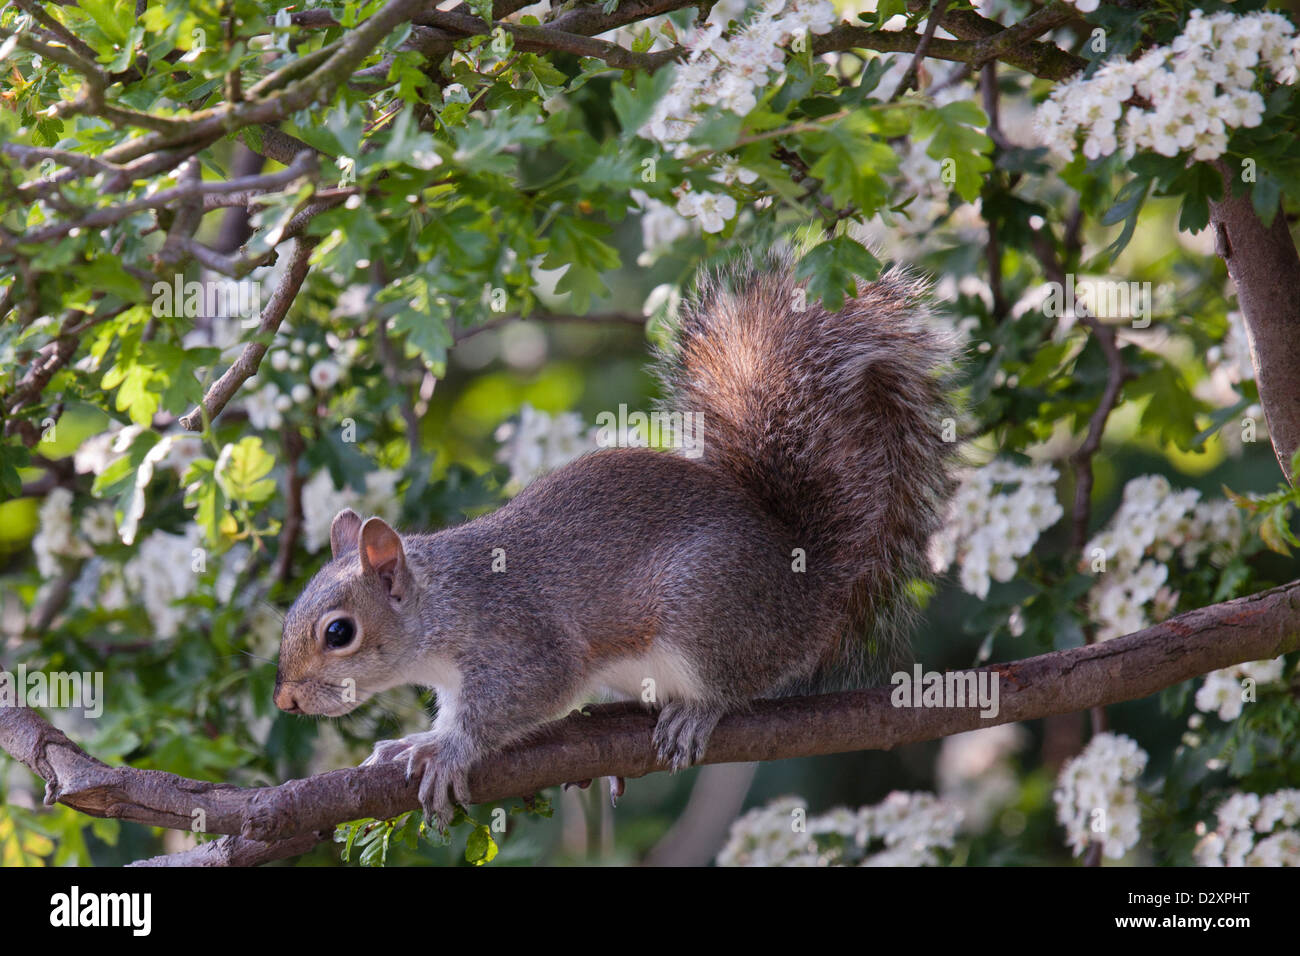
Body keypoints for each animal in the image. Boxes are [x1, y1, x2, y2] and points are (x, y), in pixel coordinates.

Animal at [273, 253, 958, 829]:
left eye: (339, 632)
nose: (286, 701)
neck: (443, 602)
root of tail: (810, 583)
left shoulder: (519, 642)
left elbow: (520, 698)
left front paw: (447, 752)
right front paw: (415, 741)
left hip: (707, 609)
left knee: (741, 681)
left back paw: (697, 712)